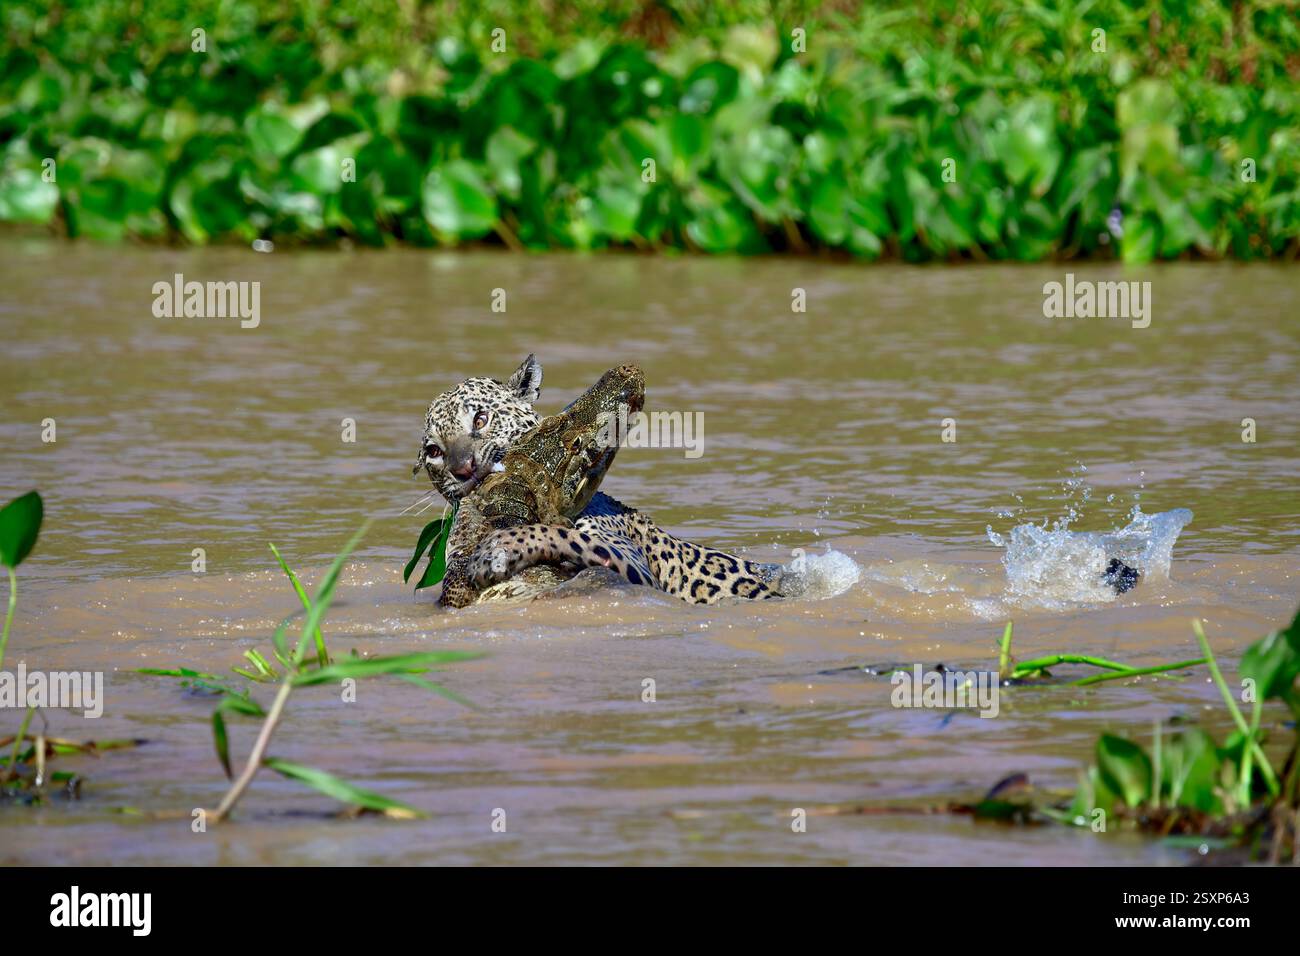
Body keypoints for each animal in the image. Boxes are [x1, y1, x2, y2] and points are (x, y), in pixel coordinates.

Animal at [413, 355, 792, 605]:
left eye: (480, 419)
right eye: (434, 451)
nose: (463, 469)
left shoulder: (635, 568)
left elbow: (565, 535)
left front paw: (500, 548)